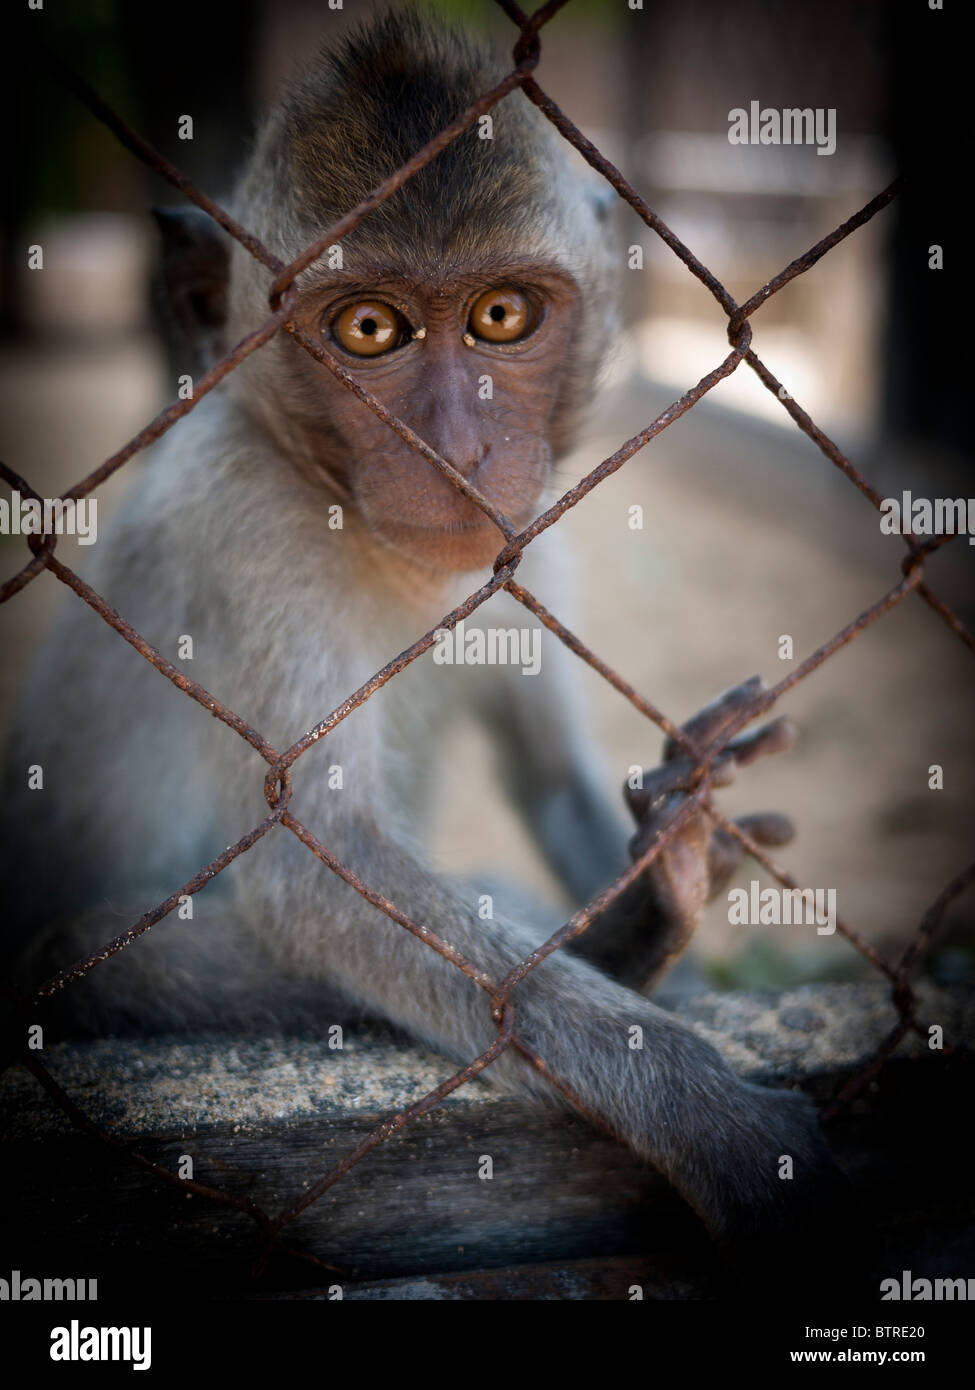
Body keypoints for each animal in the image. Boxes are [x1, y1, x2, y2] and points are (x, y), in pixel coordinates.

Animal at [0, 8, 860, 1289]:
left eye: (502, 314)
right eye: (369, 330)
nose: (457, 451)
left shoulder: (523, 545)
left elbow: (547, 771)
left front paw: (662, 874)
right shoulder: (249, 528)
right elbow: (315, 876)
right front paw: (706, 1111)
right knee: (110, 954)